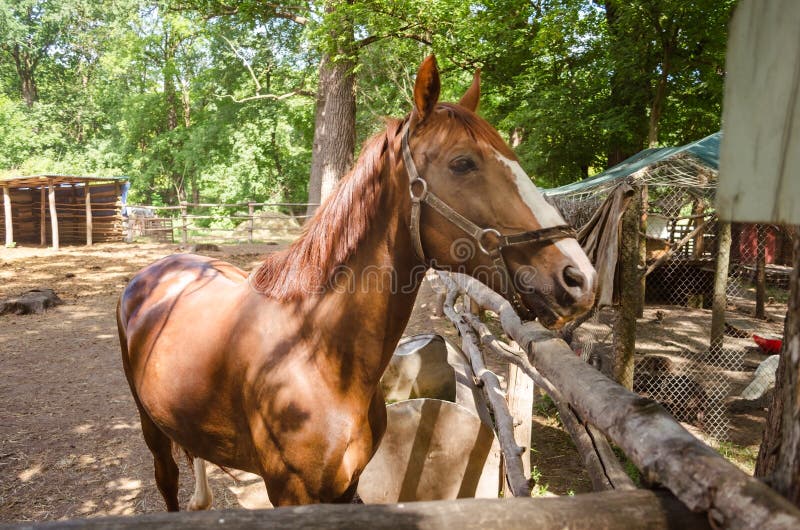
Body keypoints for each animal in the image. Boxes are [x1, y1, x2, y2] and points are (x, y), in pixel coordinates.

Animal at [117, 55, 597, 510]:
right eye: (463, 163)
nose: (580, 277)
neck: (315, 353)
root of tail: (157, 270)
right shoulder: (289, 495)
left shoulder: (346, 489)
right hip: (150, 428)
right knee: (167, 482)